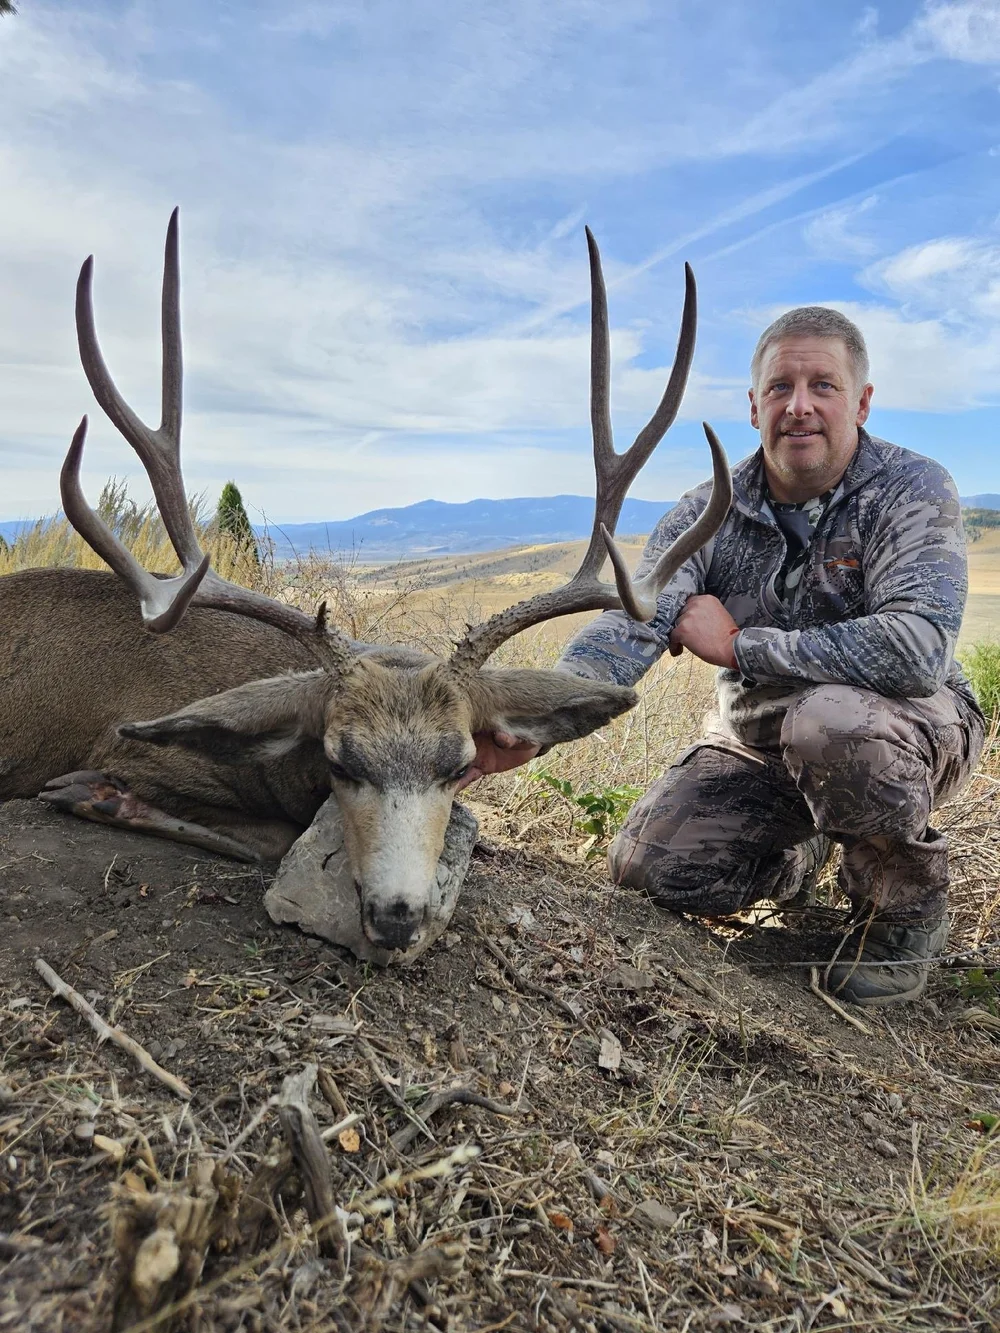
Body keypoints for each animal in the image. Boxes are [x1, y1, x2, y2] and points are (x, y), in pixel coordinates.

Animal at [0, 211, 731, 955]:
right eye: (340, 762)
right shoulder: (136, 751)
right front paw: (90, 793)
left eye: (459, 763)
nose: (397, 915)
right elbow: (270, 836)